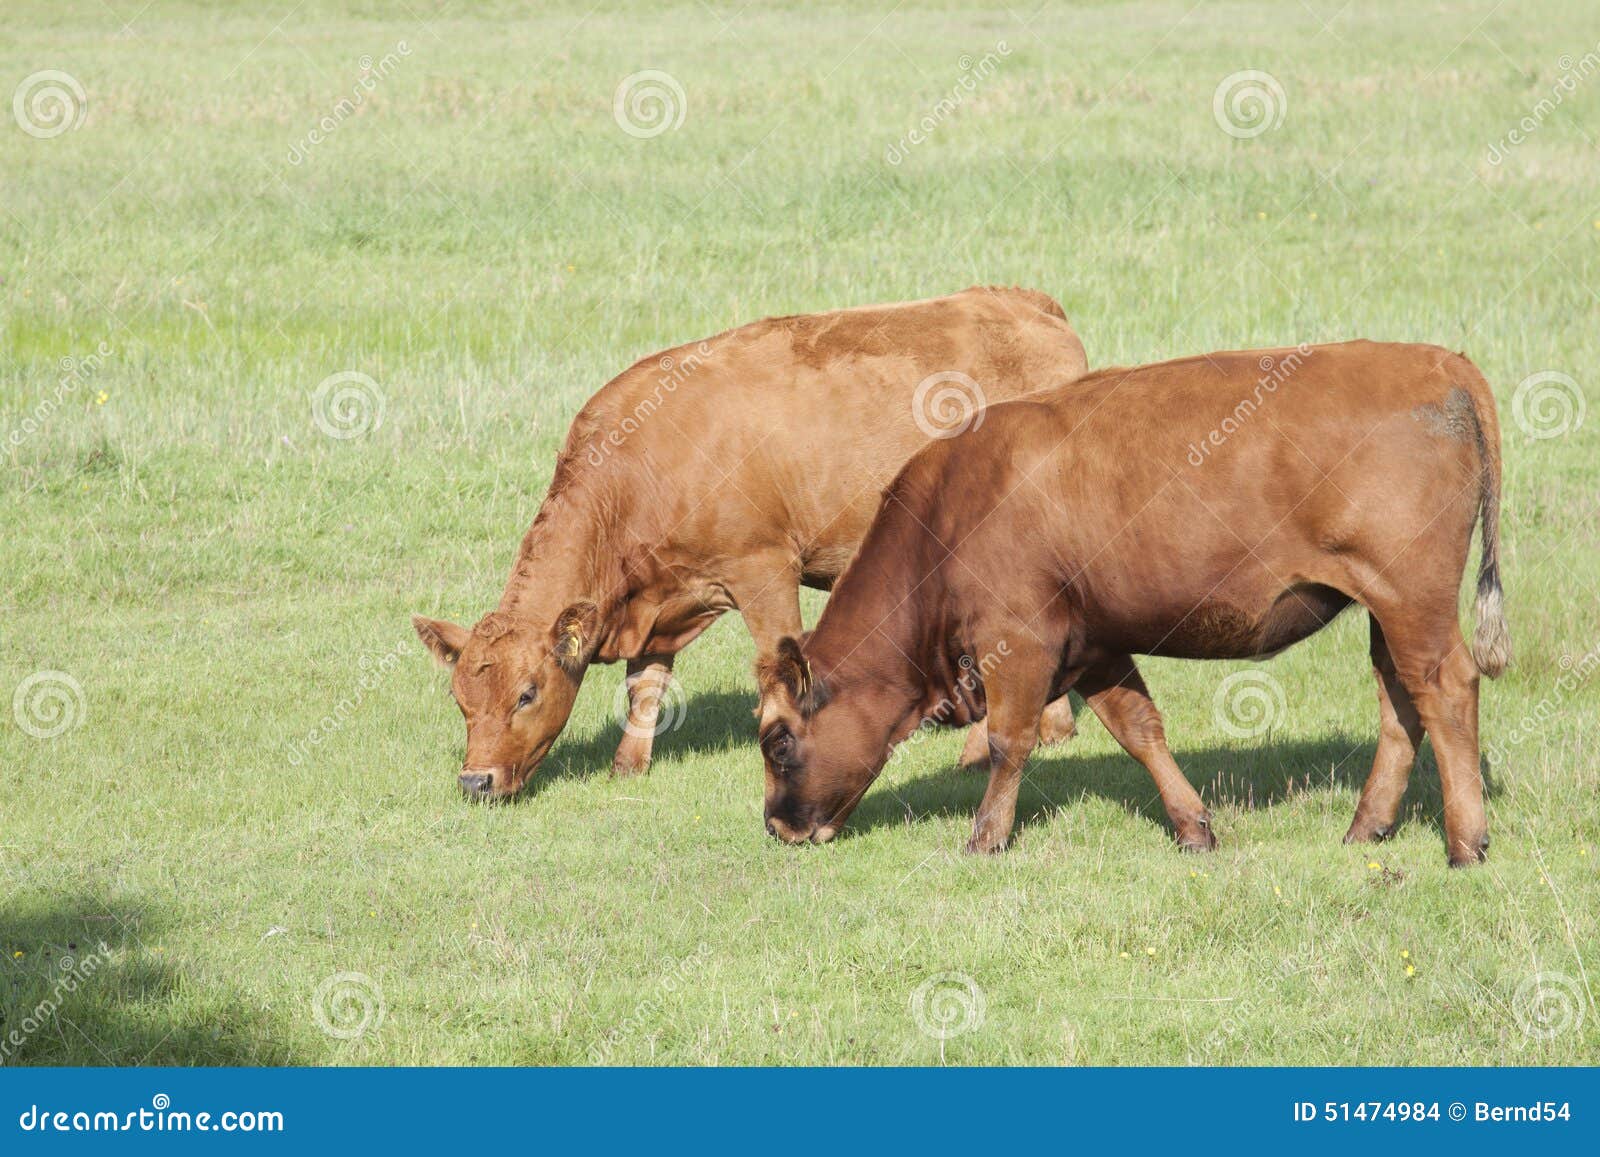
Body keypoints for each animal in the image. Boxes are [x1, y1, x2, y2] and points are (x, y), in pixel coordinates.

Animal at [412, 287, 1090, 799]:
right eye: (458, 697)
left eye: (527, 693)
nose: (475, 781)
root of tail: (1023, 301)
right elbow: (645, 685)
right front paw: (627, 768)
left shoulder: (763, 568)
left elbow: (775, 661)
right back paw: (1050, 726)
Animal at [756, 341, 1510, 866]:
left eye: (777, 739)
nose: (778, 825)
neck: (950, 505)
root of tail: (1439, 361)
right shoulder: (1095, 645)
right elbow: (1139, 729)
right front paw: (1193, 827)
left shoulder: (1019, 640)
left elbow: (1008, 740)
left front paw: (984, 838)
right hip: (1388, 610)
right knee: (1401, 700)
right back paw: (1366, 827)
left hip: (1411, 599)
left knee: (1445, 688)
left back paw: (1465, 841)